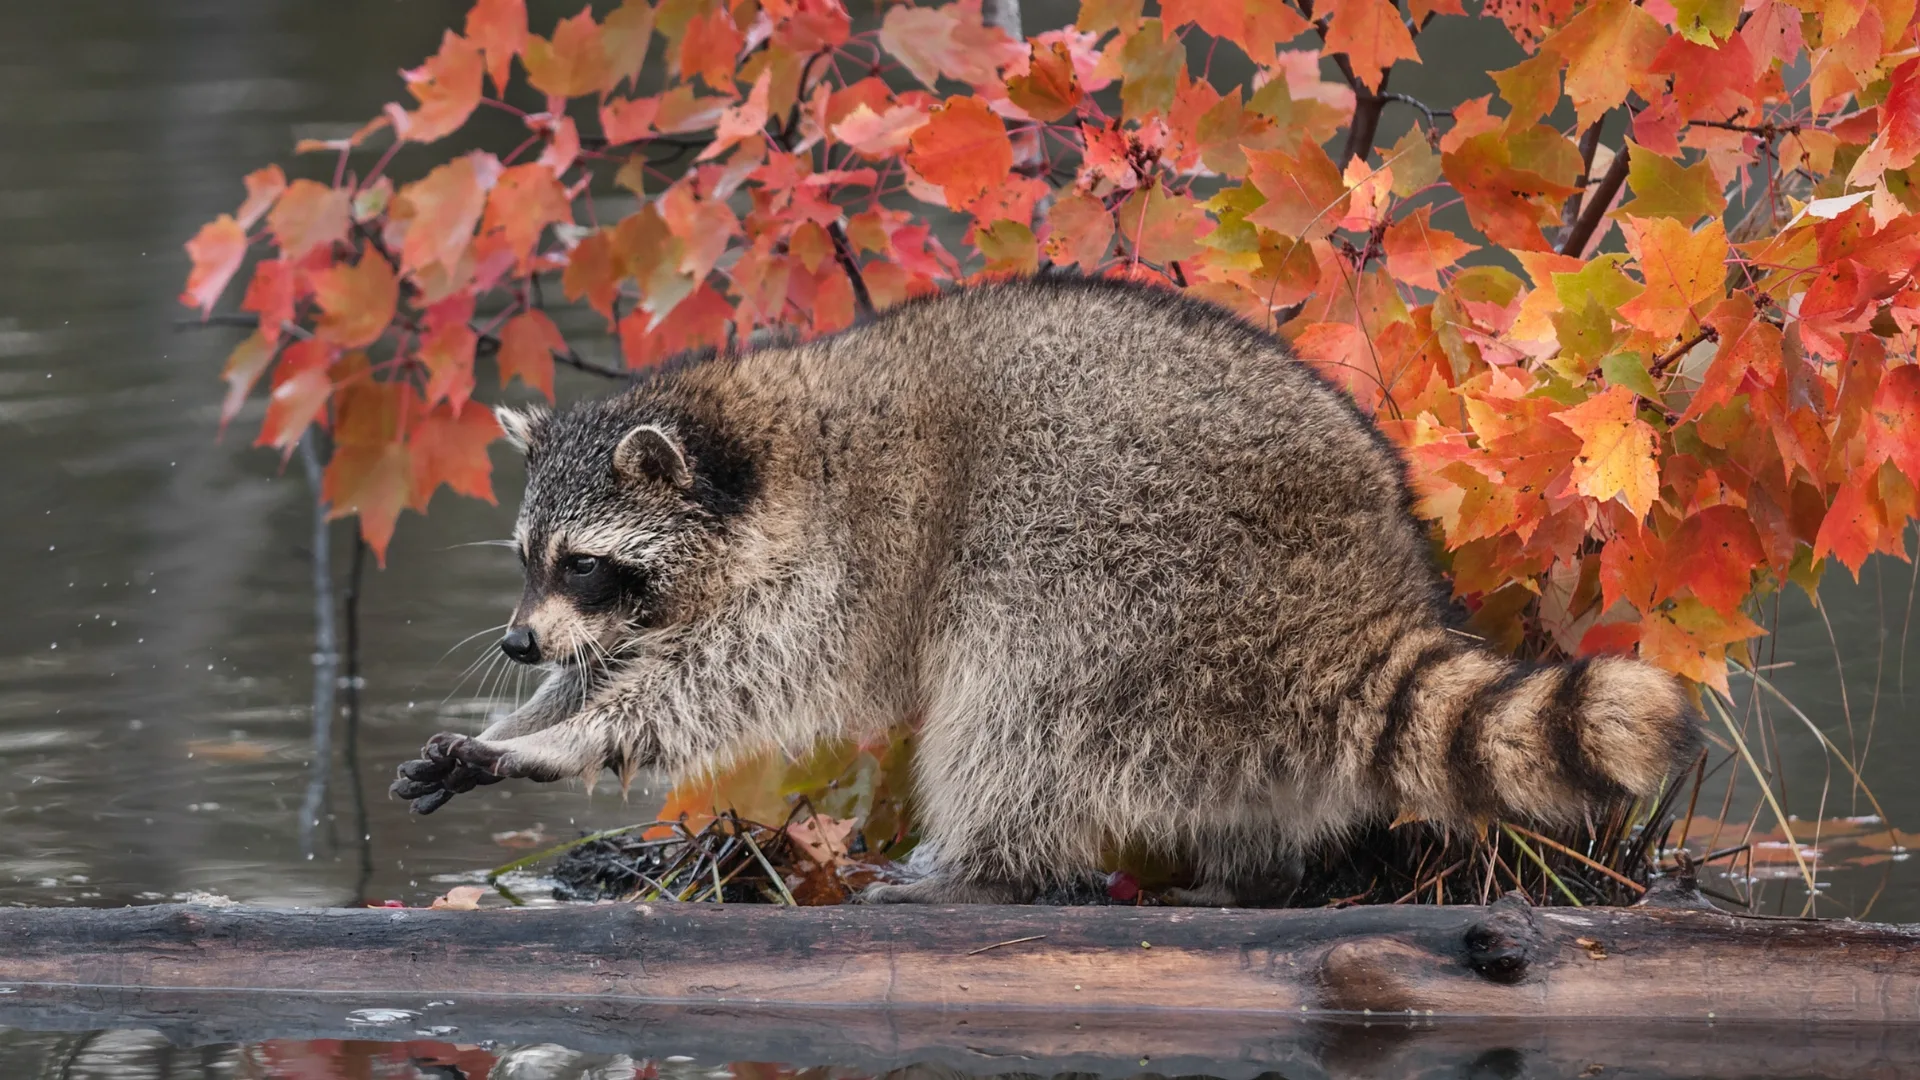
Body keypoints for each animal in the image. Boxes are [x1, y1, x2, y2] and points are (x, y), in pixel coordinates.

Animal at [392, 276, 1701, 905]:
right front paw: (528, 724)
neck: (760, 446)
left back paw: (976, 865)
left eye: (583, 562)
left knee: (1016, 701)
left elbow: (728, 685)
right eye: (528, 558)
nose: (516, 645)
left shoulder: (848, 563)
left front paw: (566, 737)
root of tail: (1361, 583)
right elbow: (633, 663)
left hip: (1131, 575)